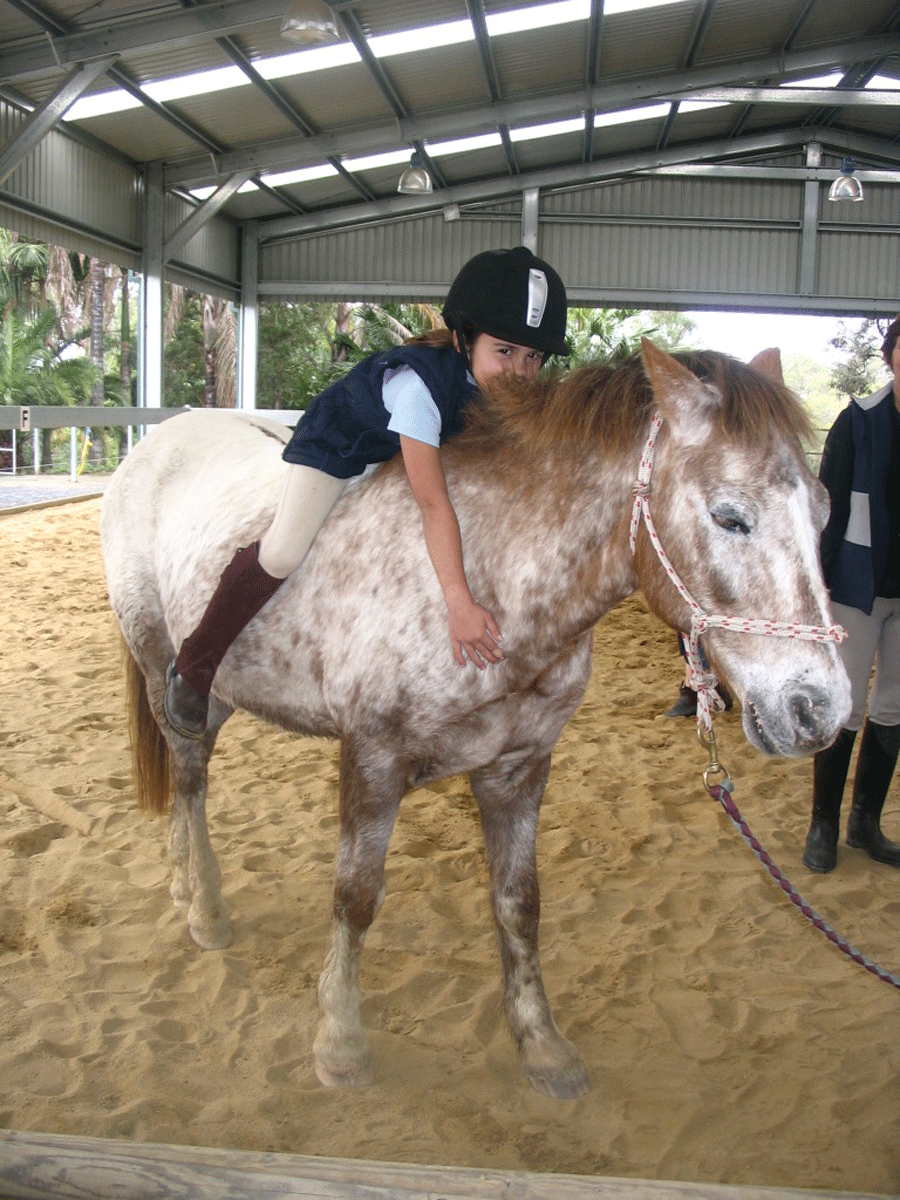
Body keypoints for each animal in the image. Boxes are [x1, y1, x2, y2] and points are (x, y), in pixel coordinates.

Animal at [99, 340, 850, 1100]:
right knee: (190, 776)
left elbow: (519, 903)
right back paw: (205, 909)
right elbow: (355, 897)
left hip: (223, 691)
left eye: (823, 512)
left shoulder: (518, 770)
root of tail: (157, 442)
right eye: (730, 517)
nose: (819, 710)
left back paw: (183, 881)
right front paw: (340, 1041)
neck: (488, 577)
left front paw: (541, 1044)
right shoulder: (371, 760)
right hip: (165, 666)